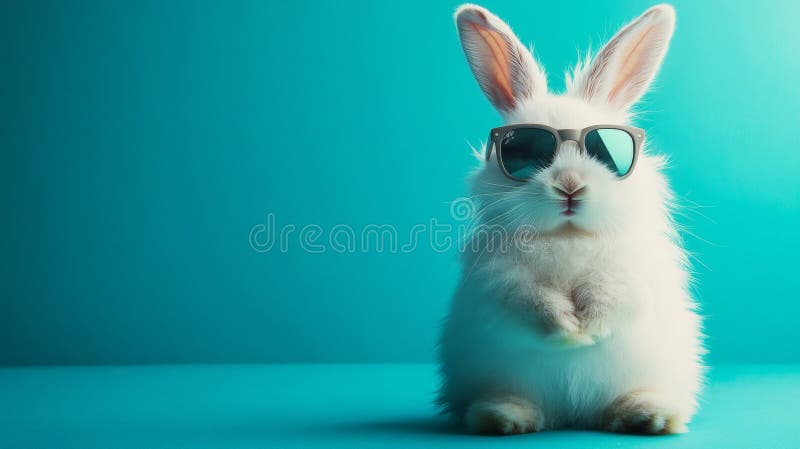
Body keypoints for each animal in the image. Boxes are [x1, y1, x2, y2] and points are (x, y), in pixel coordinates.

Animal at [437, 3, 705, 435]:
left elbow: (609, 295)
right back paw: (500, 418)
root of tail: (575, 414)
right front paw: (568, 331)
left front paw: (589, 330)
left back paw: (651, 414)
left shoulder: (629, 272)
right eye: (526, 153)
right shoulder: (502, 279)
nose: (570, 186)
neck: (568, 236)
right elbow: (534, 300)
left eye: (604, 153)